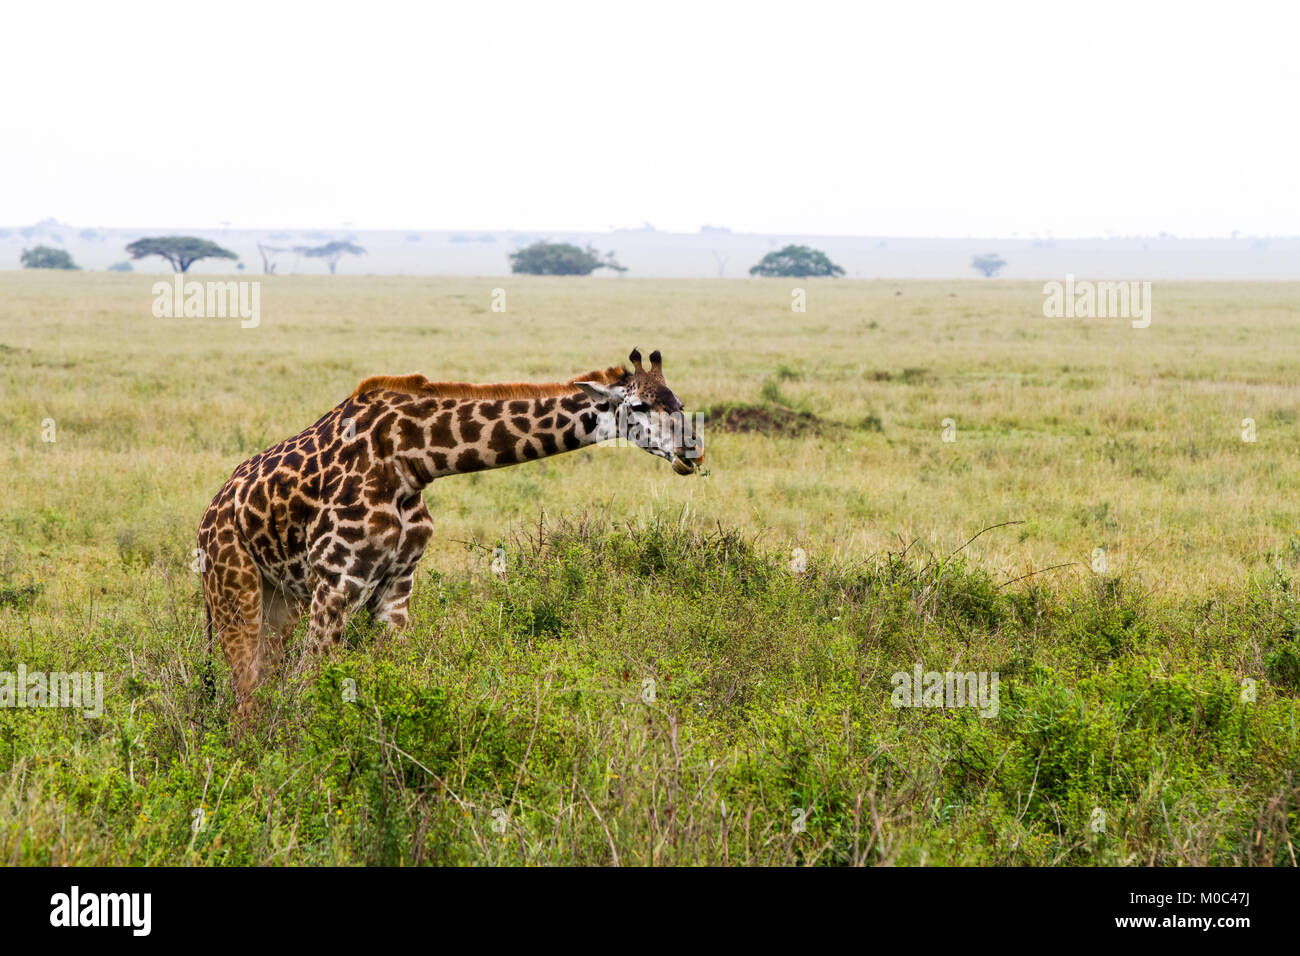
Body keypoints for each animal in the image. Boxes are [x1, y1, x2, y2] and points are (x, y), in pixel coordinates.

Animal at [198, 348, 701, 726]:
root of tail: (207, 521)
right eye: (638, 406)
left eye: (678, 402)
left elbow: (389, 677)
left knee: (259, 686)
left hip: (281, 600)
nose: (692, 449)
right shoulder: (336, 581)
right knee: (245, 694)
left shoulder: (397, 584)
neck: (410, 459)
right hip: (234, 592)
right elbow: (309, 685)